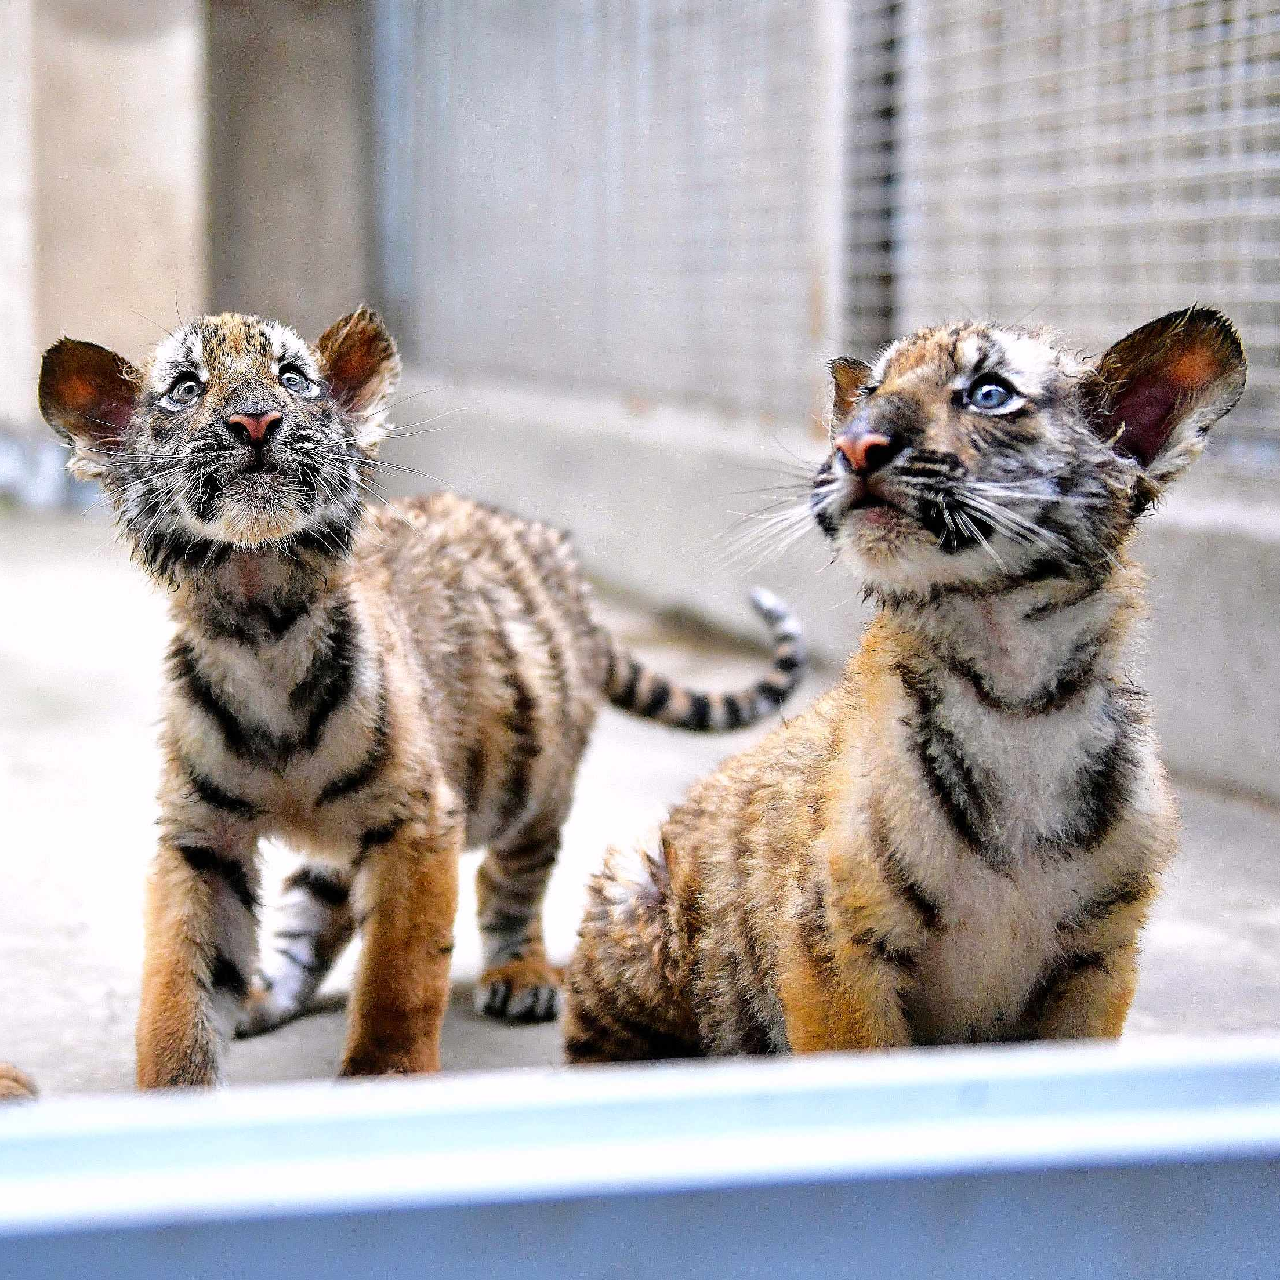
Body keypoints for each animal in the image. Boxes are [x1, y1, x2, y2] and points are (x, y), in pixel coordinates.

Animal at [37, 307, 806, 1087]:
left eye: (293, 377)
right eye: (185, 387)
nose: (256, 419)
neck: (260, 621)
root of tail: (575, 585)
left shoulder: (418, 820)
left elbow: (397, 974)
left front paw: (383, 1077)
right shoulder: (201, 839)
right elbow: (180, 983)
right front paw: (175, 1087)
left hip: (533, 786)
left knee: (509, 879)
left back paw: (521, 975)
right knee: (310, 919)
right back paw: (263, 995)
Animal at [564, 306, 1246, 1061]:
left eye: (989, 394)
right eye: (871, 393)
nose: (854, 445)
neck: (1013, 689)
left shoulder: (1097, 960)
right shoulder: (836, 944)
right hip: (631, 900)